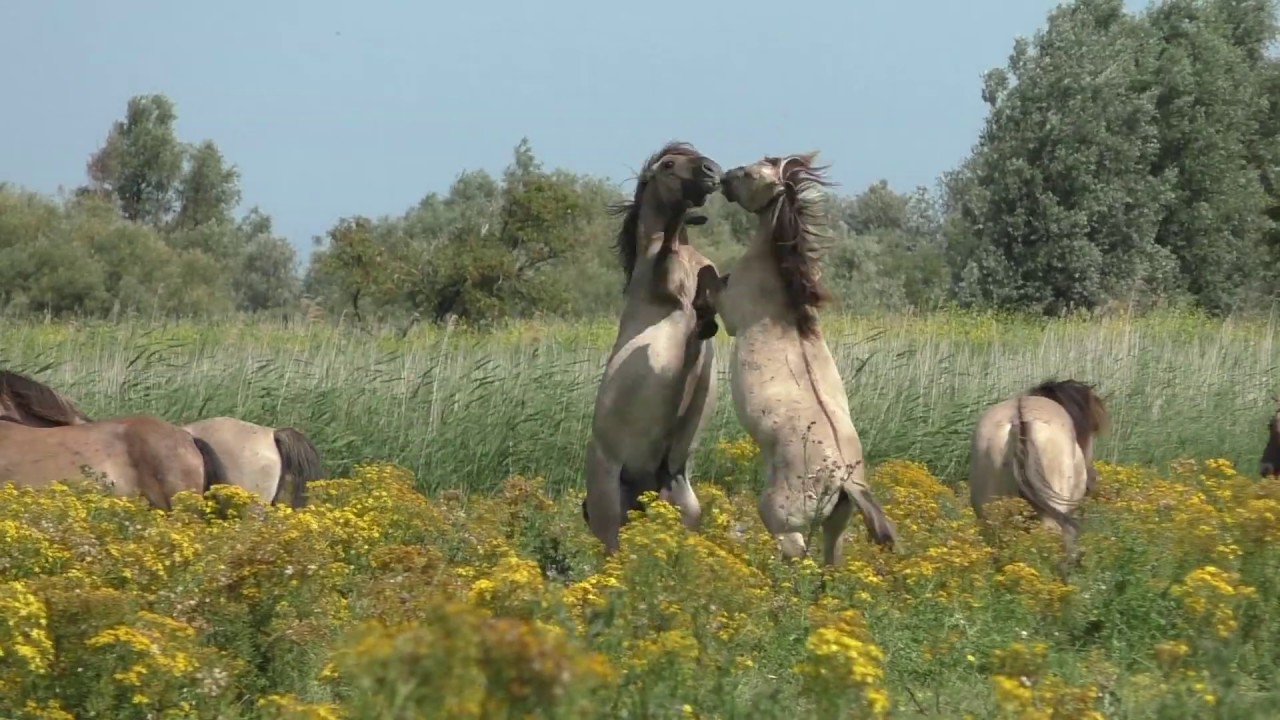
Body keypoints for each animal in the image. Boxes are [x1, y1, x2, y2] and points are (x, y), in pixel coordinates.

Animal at [695, 152, 899, 565]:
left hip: (782, 520)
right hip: (837, 527)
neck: (781, 287)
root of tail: (845, 481)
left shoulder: (731, 312)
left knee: (795, 558)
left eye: (751, 175)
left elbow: (708, 273)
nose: (723, 179)